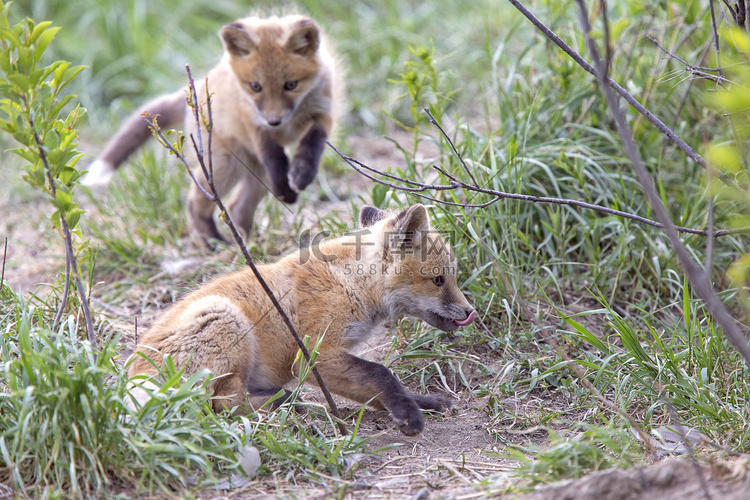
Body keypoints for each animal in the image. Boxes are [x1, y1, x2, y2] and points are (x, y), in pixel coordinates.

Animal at [83, 14, 341, 246]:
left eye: (291, 85)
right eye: (255, 87)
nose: (274, 121)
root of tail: (197, 87)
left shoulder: (323, 112)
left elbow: (312, 143)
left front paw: (301, 173)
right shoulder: (253, 122)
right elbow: (274, 158)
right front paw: (285, 189)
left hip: (254, 174)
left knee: (237, 207)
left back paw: (247, 243)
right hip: (224, 165)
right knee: (195, 203)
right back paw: (215, 241)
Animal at [127, 204, 476, 435]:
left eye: (449, 278)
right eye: (439, 280)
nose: (470, 312)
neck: (351, 283)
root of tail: (131, 378)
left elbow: (375, 389)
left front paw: (419, 402)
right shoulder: (312, 355)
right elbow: (381, 374)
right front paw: (409, 415)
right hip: (224, 319)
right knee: (223, 405)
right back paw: (288, 403)